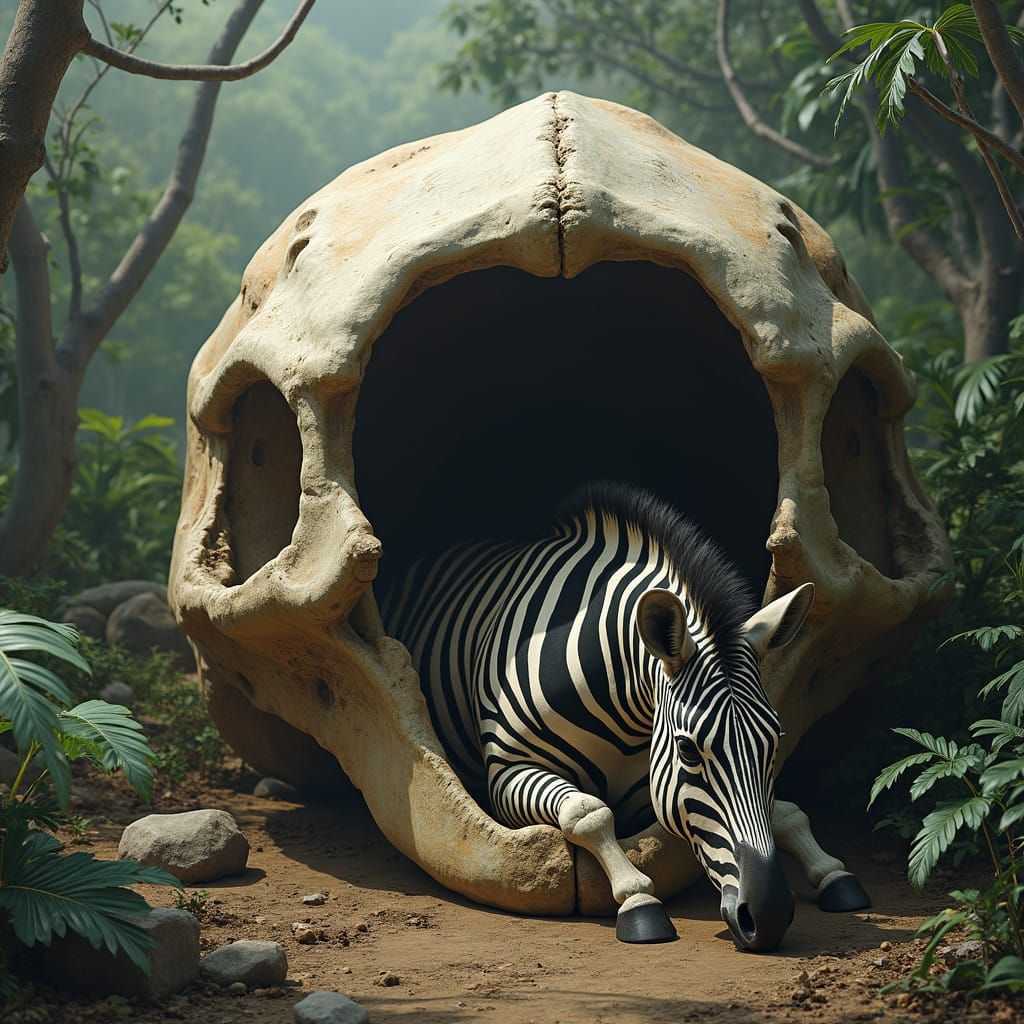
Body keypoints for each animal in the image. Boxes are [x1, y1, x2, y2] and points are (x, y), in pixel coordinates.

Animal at [382, 482, 870, 949]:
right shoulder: (508, 772)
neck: (620, 712)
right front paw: (639, 899)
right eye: (687, 749)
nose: (769, 917)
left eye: (775, 739)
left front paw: (832, 871)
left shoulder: (650, 784)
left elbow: (781, 809)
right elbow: (589, 812)